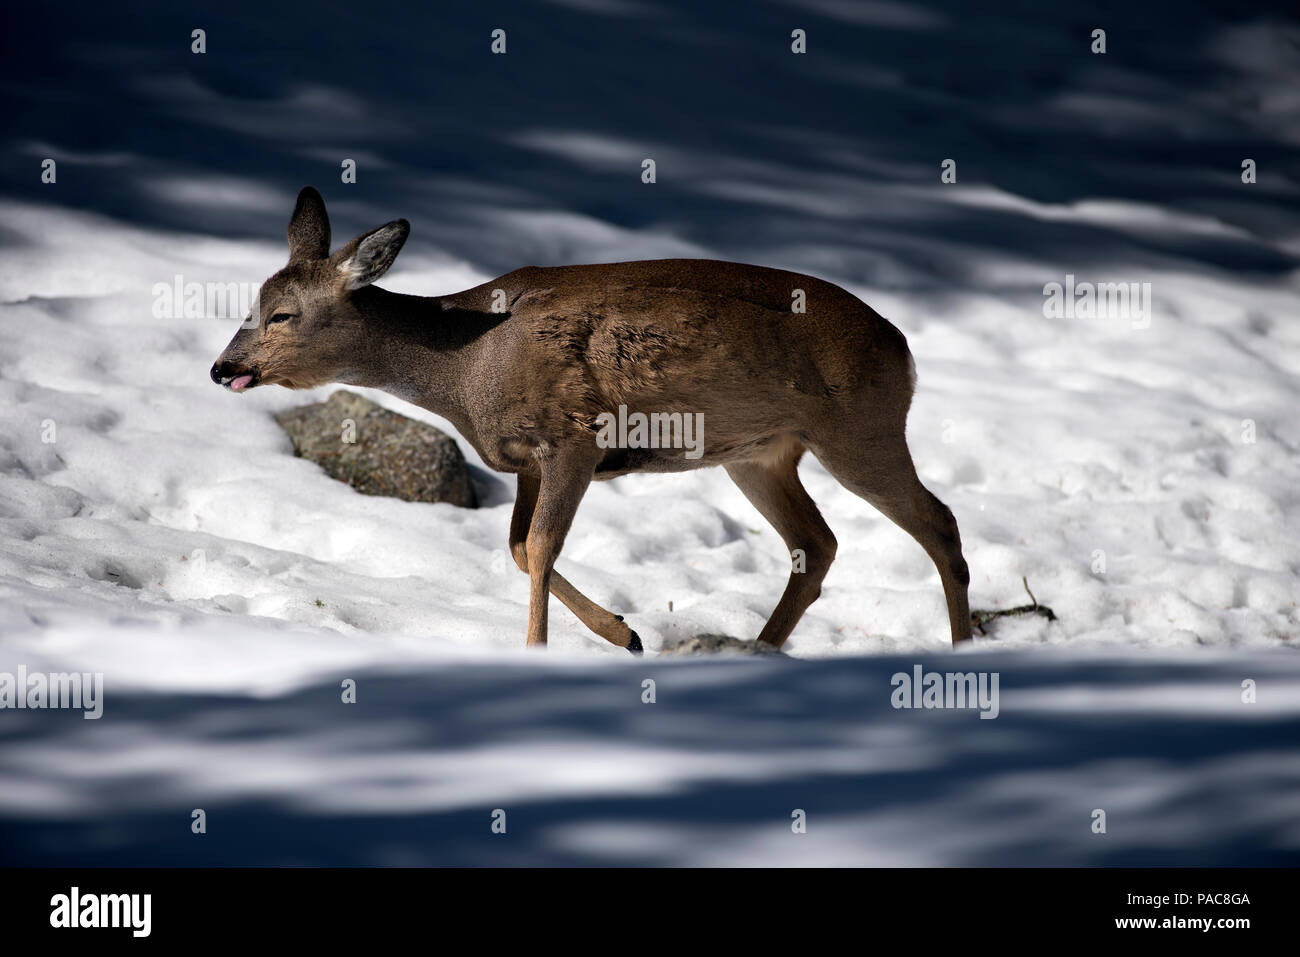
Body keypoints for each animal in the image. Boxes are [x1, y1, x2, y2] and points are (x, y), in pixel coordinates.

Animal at [211, 187, 972, 654]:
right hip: (758, 454)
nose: (222, 368)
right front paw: (624, 632)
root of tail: (904, 348)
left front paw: (543, 649)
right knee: (817, 543)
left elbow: (541, 546)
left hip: (860, 429)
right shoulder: (521, 460)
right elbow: (518, 548)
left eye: (282, 314)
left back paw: (963, 646)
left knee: (938, 522)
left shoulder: (573, 436)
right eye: (252, 302)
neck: (466, 366)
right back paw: (757, 648)